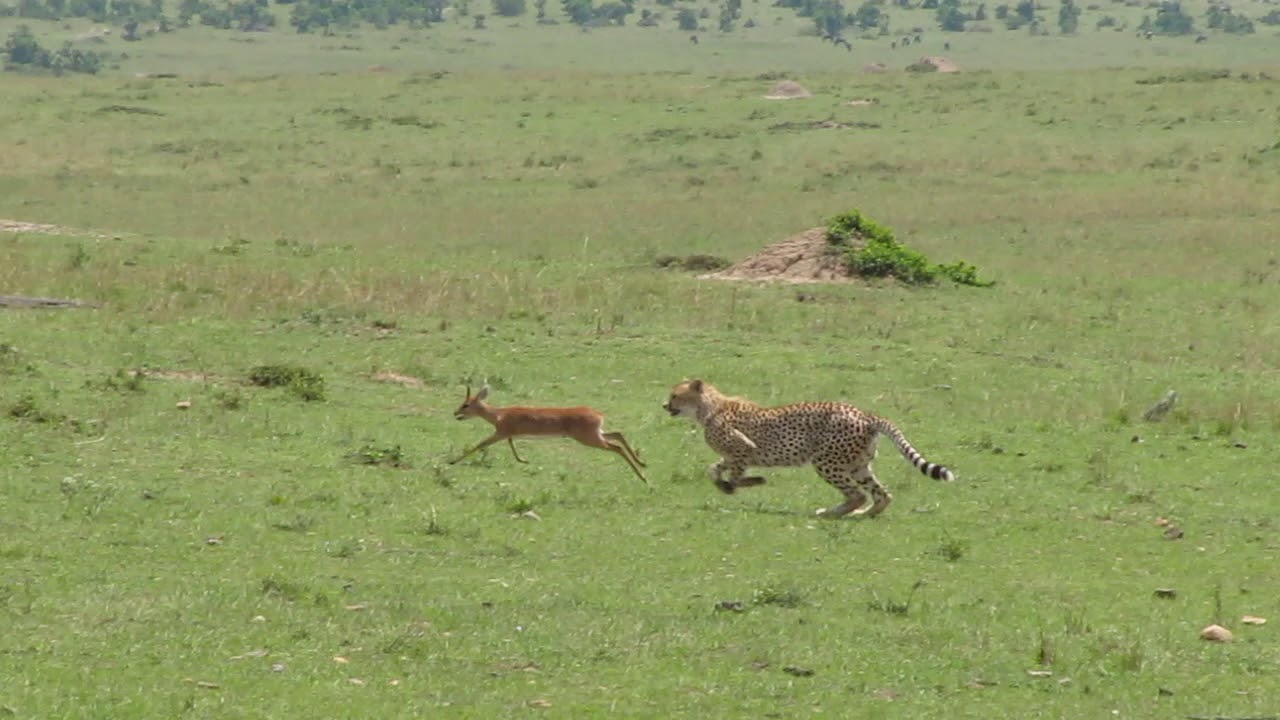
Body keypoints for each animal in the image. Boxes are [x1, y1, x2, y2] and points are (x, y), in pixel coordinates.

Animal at [663, 379, 955, 518]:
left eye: (676, 395)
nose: (665, 405)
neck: (709, 408)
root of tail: (865, 413)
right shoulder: (732, 454)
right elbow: (713, 469)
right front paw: (725, 484)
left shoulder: (743, 448)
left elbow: (734, 473)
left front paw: (744, 483)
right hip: (858, 465)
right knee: (882, 495)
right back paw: (862, 515)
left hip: (826, 462)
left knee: (857, 494)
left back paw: (830, 514)